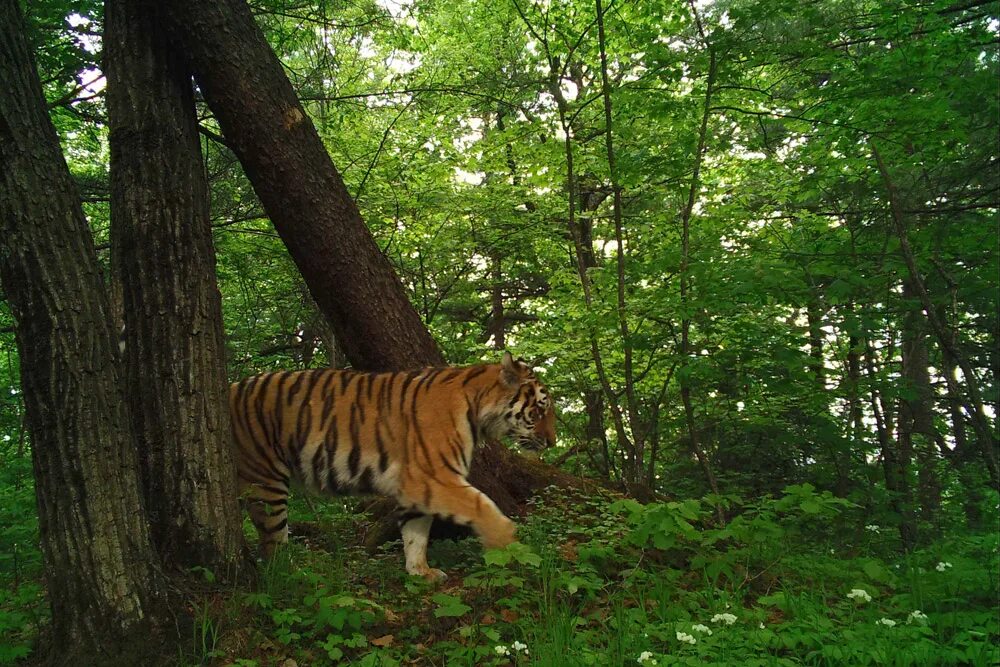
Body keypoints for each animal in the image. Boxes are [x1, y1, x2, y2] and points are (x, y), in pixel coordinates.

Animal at [229, 352, 556, 580]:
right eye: (540, 409)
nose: (553, 442)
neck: (476, 409)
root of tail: (231, 387)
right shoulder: (433, 477)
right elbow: (483, 506)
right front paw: (508, 547)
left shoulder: (416, 487)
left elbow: (416, 533)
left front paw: (421, 572)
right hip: (264, 482)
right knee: (273, 544)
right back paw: (294, 576)